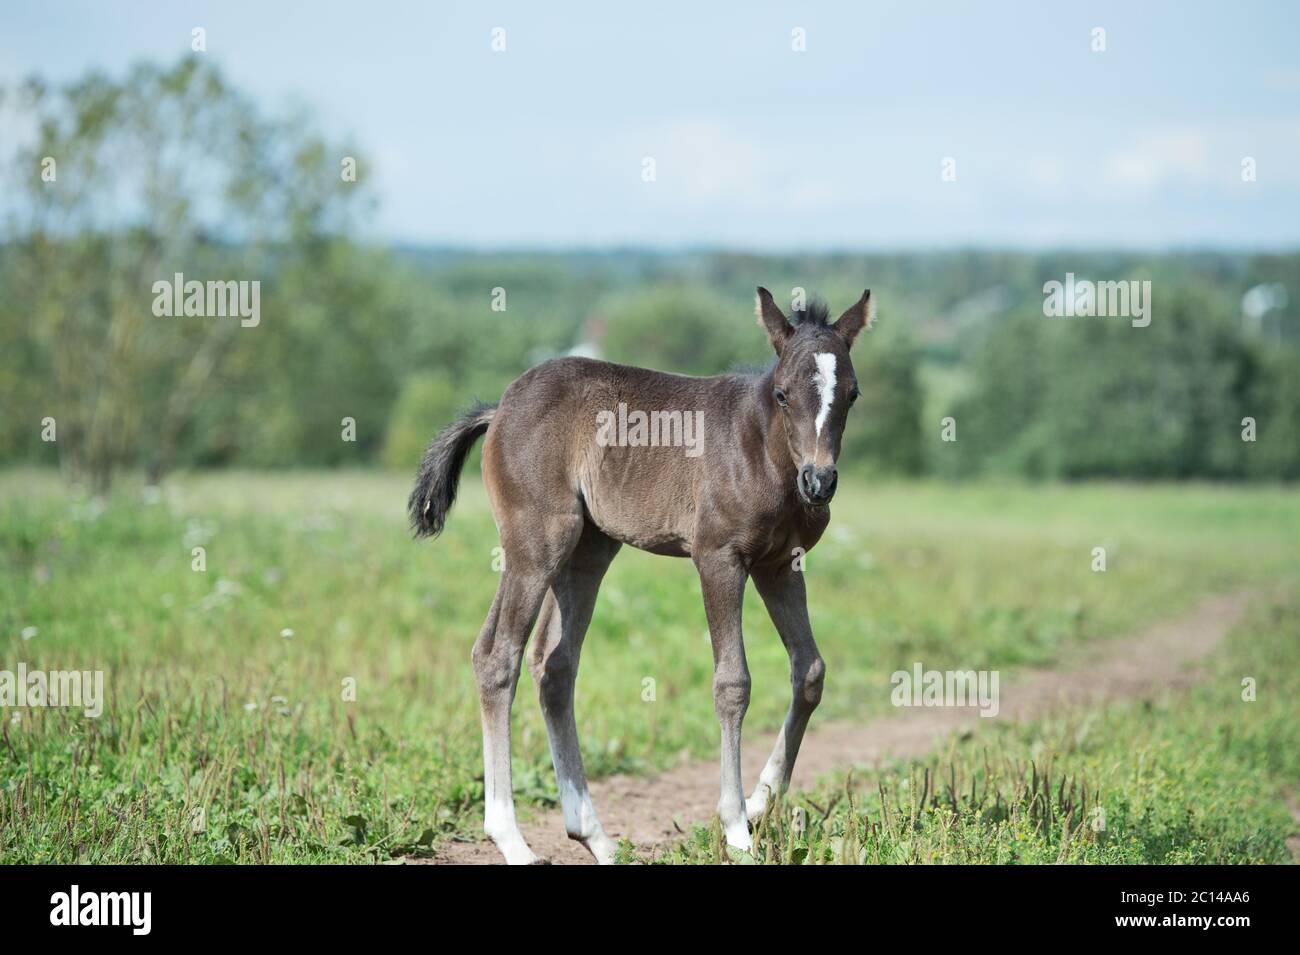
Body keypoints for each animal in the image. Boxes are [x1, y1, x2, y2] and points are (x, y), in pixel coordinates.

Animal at [409, 286, 873, 863]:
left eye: (852, 394)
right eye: (783, 394)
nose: (819, 481)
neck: (763, 450)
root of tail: (499, 409)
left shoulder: (779, 566)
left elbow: (809, 672)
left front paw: (760, 804)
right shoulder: (718, 557)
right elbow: (732, 683)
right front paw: (736, 828)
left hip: (586, 551)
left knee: (554, 667)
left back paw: (595, 835)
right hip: (536, 542)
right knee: (497, 657)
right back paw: (511, 838)